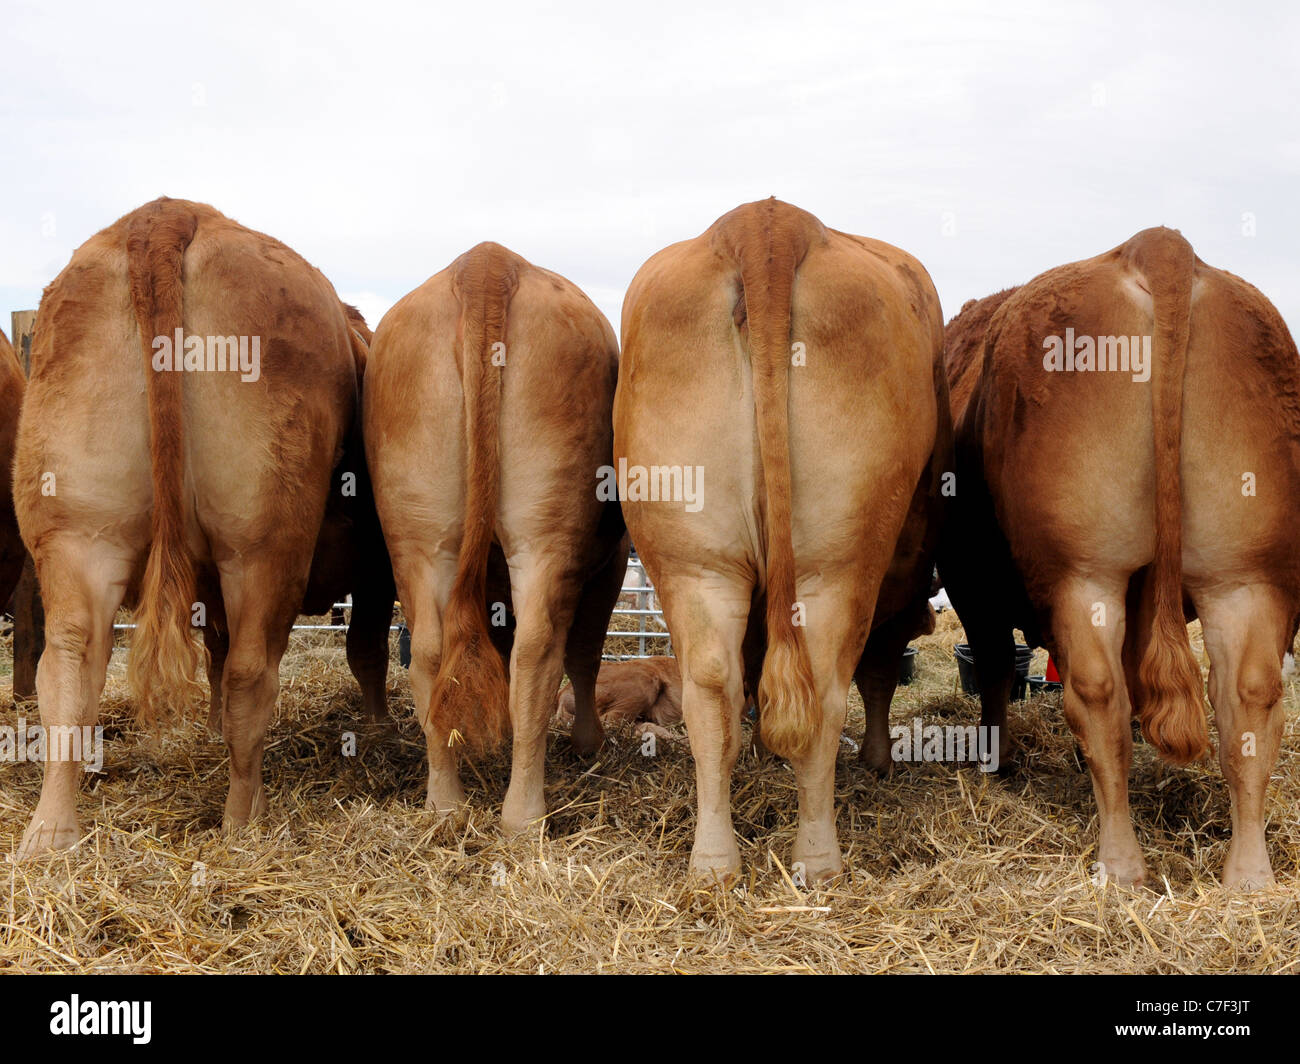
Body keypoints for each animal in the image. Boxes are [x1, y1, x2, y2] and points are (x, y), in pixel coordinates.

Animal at [14, 197, 393, 857]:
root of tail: (169, 215)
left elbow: (215, 649)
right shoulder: (377, 573)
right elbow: (366, 648)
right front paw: (379, 730)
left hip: (77, 531)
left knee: (68, 665)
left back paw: (51, 833)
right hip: (263, 542)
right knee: (251, 670)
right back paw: (245, 819)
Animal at [363, 241, 629, 833]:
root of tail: (488, 264)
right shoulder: (613, 563)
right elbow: (586, 652)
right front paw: (589, 741)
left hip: (418, 531)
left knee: (433, 653)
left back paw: (446, 804)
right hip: (546, 532)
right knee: (537, 651)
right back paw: (523, 816)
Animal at [615, 197, 949, 881]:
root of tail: (769, 222)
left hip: (693, 557)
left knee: (714, 690)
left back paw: (718, 864)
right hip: (833, 562)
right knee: (816, 692)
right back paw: (813, 861)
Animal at [938, 227, 1300, 889]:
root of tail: (1153, 245)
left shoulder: (970, 581)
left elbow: (996, 669)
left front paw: (996, 764)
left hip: (1085, 573)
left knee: (1099, 697)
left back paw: (1122, 867)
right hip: (1246, 575)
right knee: (1248, 703)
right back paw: (1249, 877)